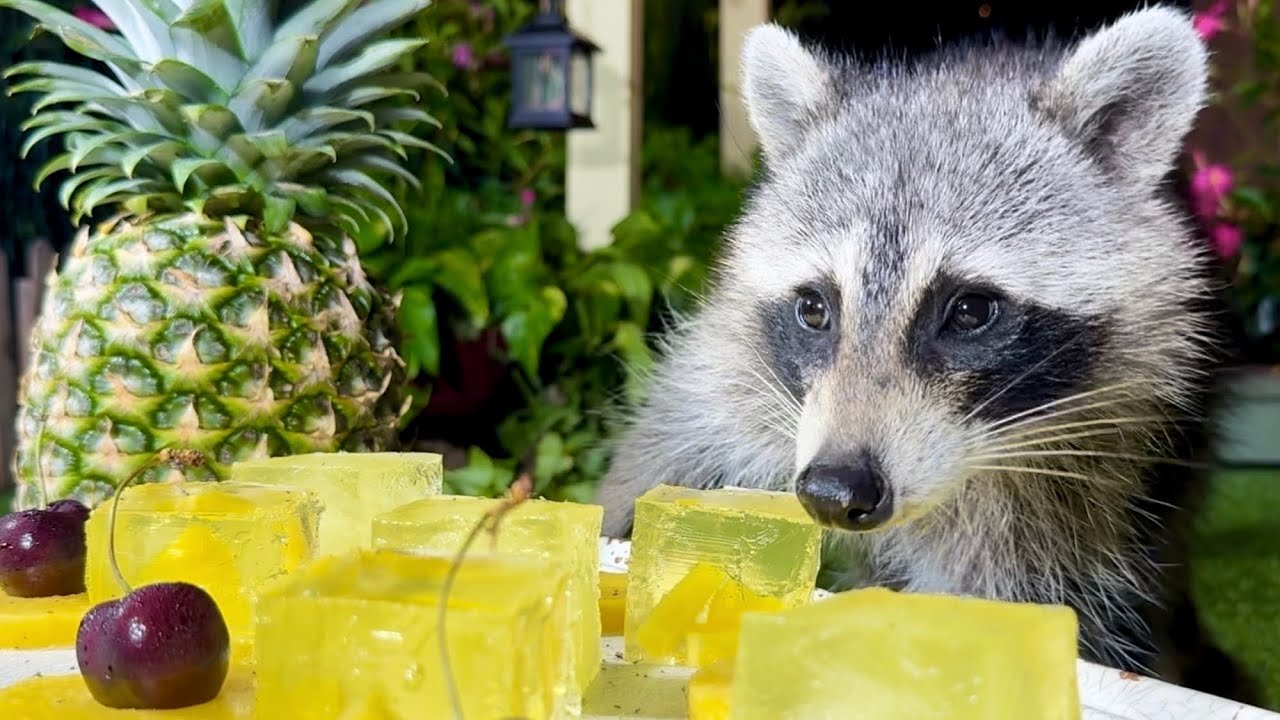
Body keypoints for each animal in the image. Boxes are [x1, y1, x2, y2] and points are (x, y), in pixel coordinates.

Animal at [596, 6, 1247, 694]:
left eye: (970, 311)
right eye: (814, 308)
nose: (834, 491)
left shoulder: (1081, 486)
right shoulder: (743, 363)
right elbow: (673, 436)